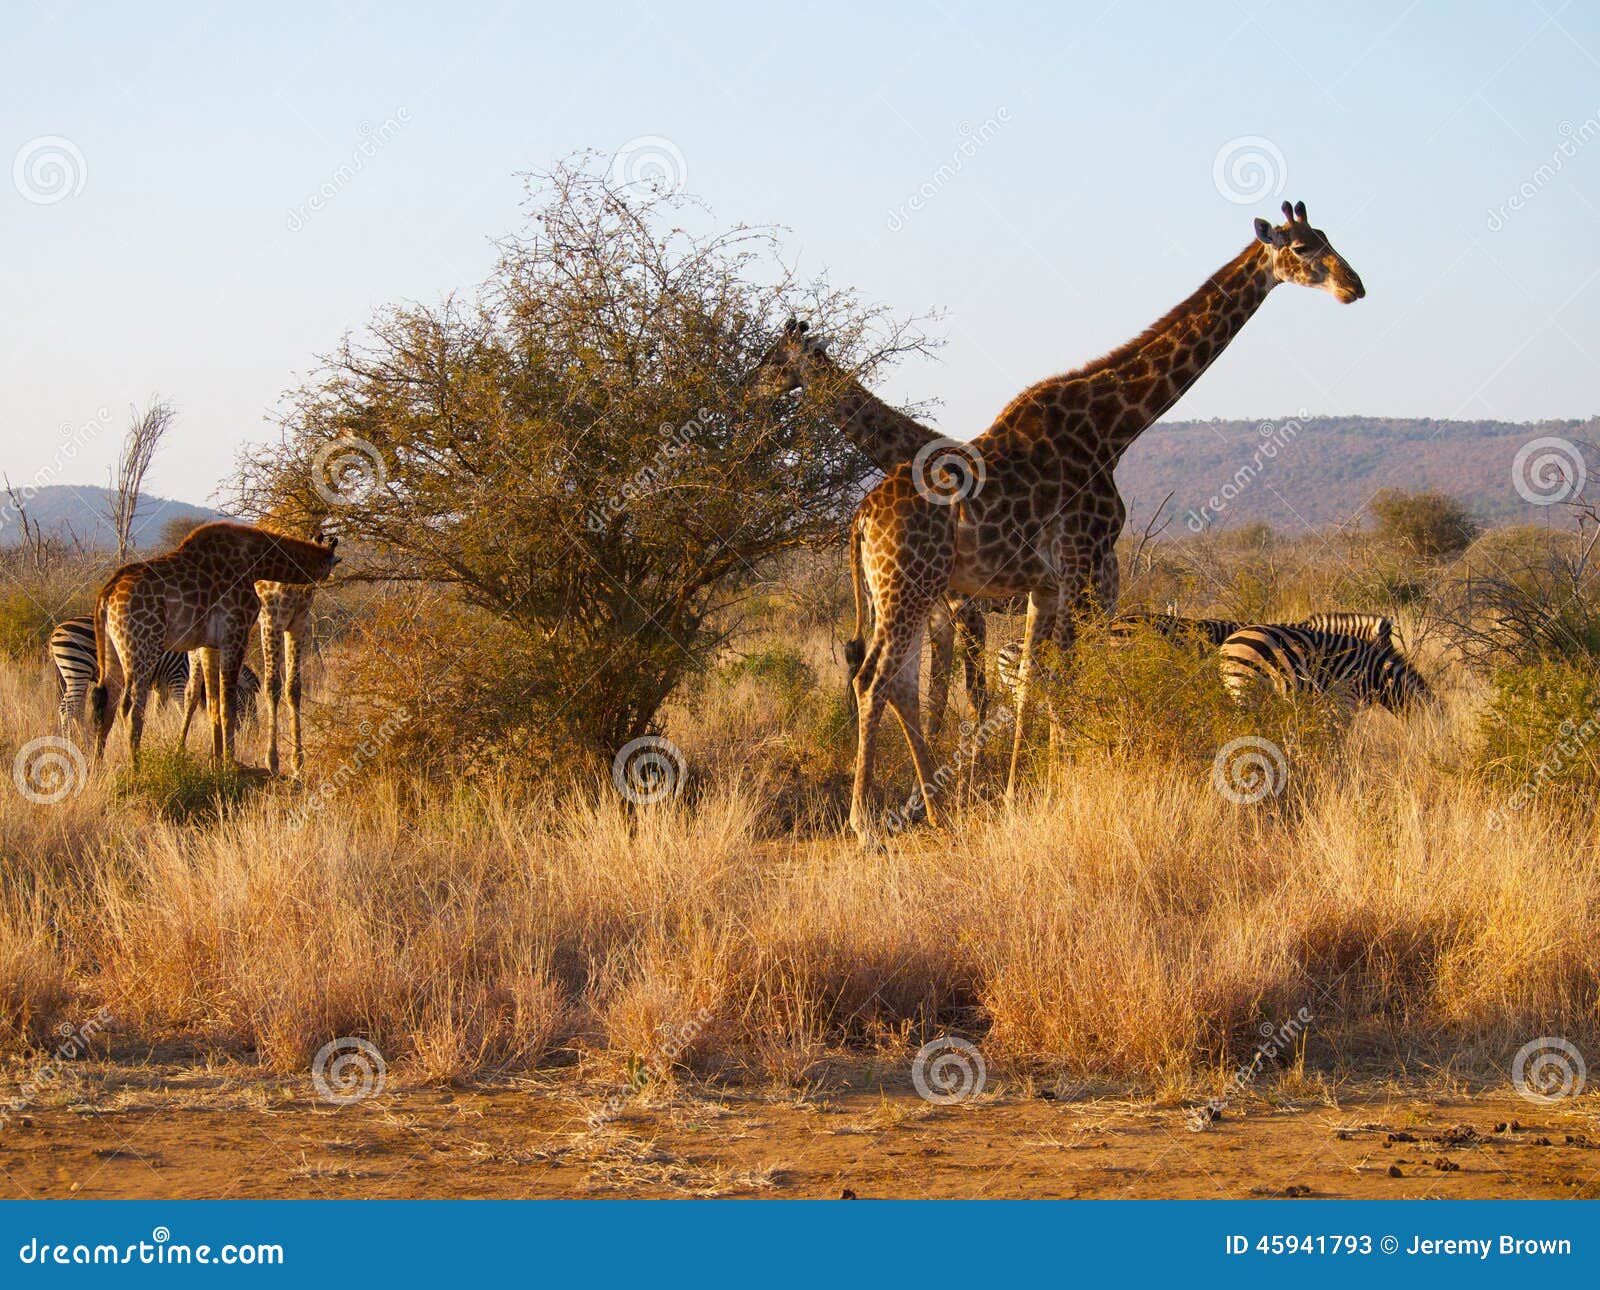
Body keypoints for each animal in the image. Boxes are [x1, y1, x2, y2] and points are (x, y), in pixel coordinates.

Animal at [49, 616, 259, 737]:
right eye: (246, 698)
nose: (253, 733)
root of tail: (55, 631)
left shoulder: (161, 684)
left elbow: (159, 711)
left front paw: (159, 730)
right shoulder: (177, 677)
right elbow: (182, 707)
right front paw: (186, 733)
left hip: (76, 673)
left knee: (75, 708)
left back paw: (81, 737)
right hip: (78, 667)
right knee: (67, 708)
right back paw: (71, 739)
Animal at [90, 522, 339, 769]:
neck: (255, 562)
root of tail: (105, 594)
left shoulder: (210, 644)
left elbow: (213, 703)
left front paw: (218, 763)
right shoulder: (235, 631)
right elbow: (228, 704)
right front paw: (230, 765)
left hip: (114, 651)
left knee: (107, 704)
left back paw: (97, 770)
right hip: (143, 647)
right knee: (131, 707)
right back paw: (136, 770)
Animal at [845, 200, 1366, 843]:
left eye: (1326, 237)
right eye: (1301, 249)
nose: (1354, 286)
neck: (1113, 427)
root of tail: (861, 519)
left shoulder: (1051, 582)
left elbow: (1035, 683)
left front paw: (1023, 788)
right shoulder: (1086, 563)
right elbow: (1063, 681)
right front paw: (1052, 783)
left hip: (908, 591)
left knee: (898, 682)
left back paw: (936, 810)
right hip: (909, 586)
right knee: (873, 680)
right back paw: (865, 822)